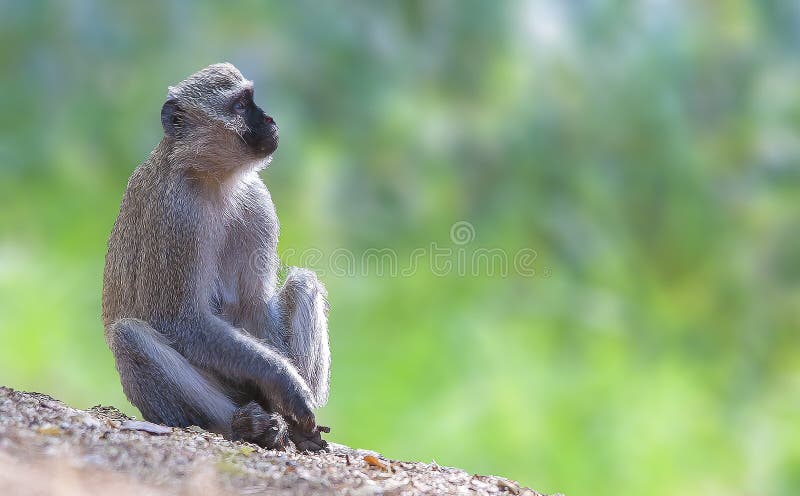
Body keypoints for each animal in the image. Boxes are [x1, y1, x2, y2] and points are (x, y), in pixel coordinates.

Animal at [101, 63, 331, 451]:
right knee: (129, 334)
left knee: (303, 282)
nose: (270, 118)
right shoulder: (179, 215)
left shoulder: (257, 201)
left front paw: (288, 393)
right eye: (240, 105)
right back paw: (247, 426)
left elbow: (254, 307)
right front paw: (284, 380)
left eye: (251, 99)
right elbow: (182, 321)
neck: (212, 178)